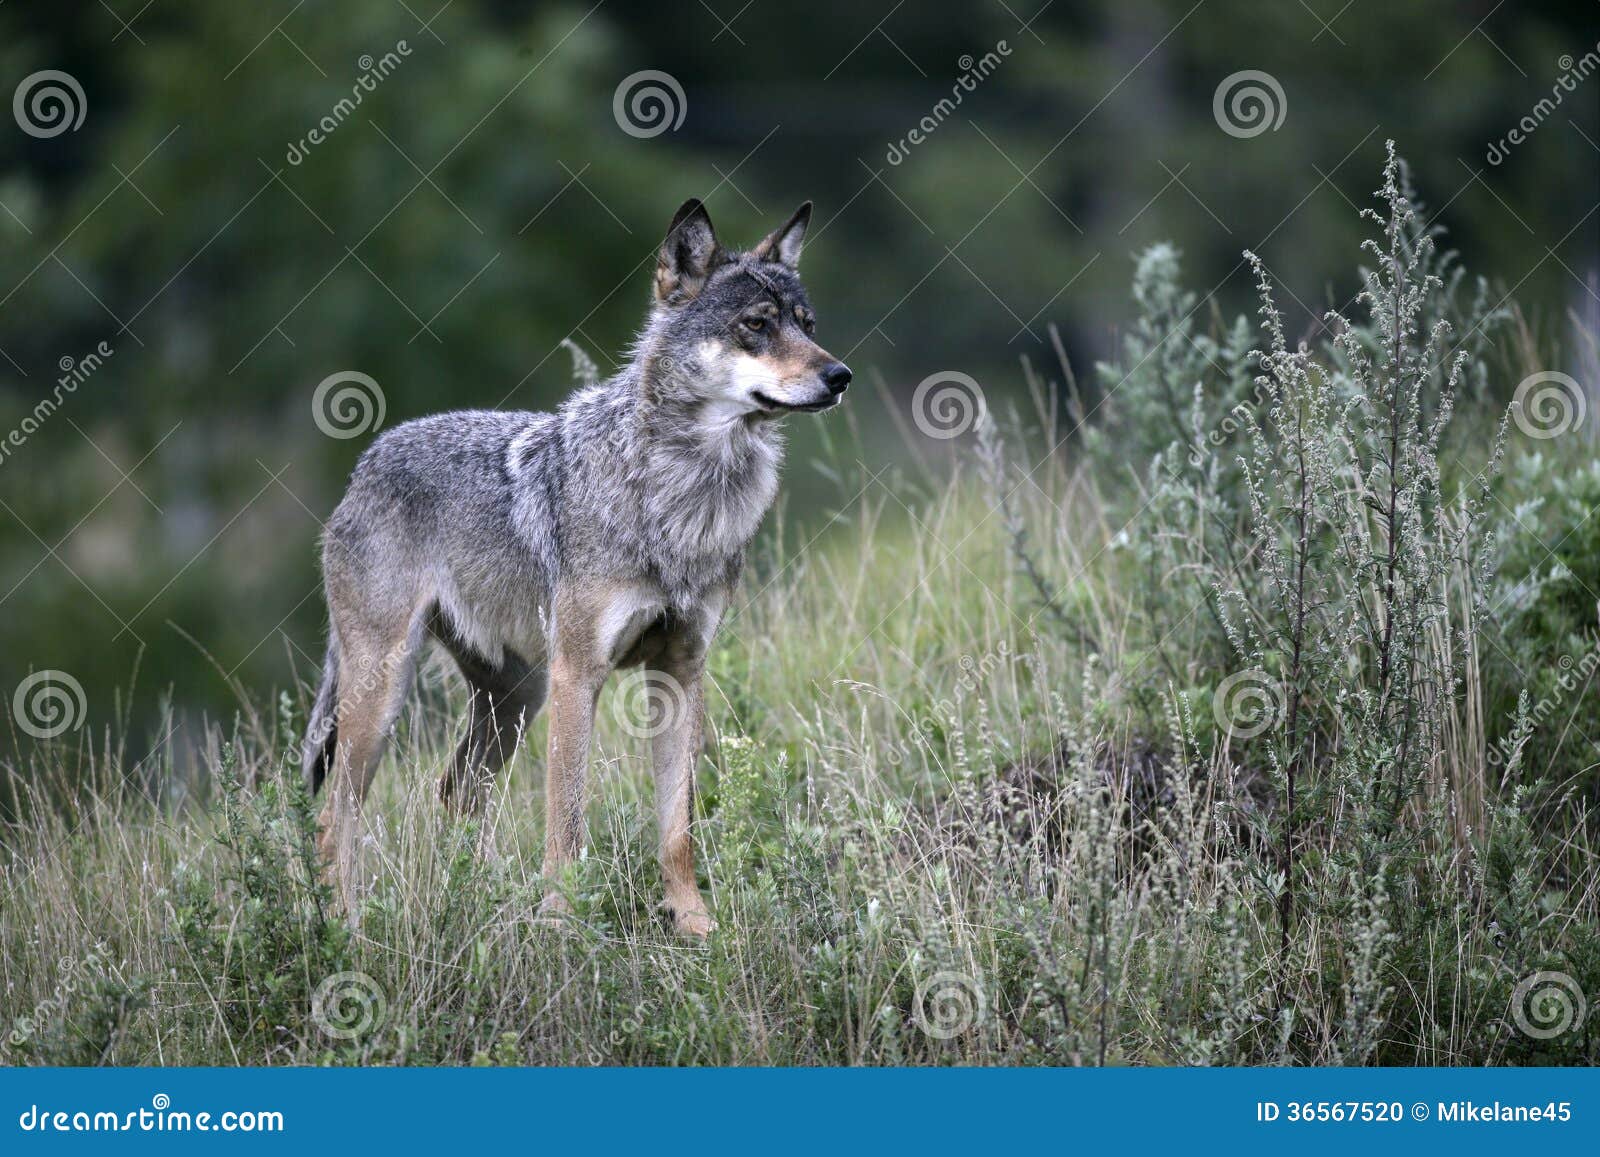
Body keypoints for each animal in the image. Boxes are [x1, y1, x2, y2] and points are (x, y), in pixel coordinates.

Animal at [302, 199, 849, 937]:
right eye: (756, 326)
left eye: (807, 326)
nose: (840, 375)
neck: (681, 495)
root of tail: (367, 462)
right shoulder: (577, 675)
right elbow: (566, 825)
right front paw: (561, 929)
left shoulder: (680, 672)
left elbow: (677, 828)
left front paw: (693, 923)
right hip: (386, 694)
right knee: (335, 815)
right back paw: (348, 932)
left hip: (513, 700)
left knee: (452, 791)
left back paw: (478, 899)